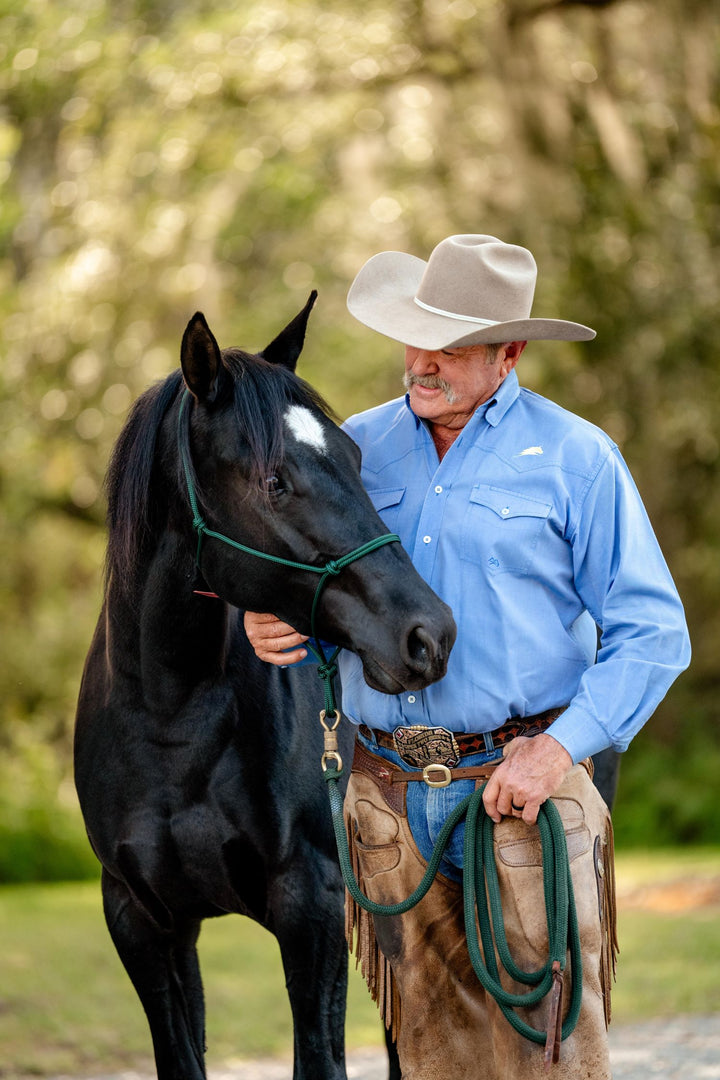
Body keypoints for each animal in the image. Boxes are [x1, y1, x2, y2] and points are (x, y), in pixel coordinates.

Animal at [74, 292, 457, 1080]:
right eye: (274, 480)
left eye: (355, 457)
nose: (428, 635)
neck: (169, 720)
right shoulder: (144, 921)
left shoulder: (311, 907)